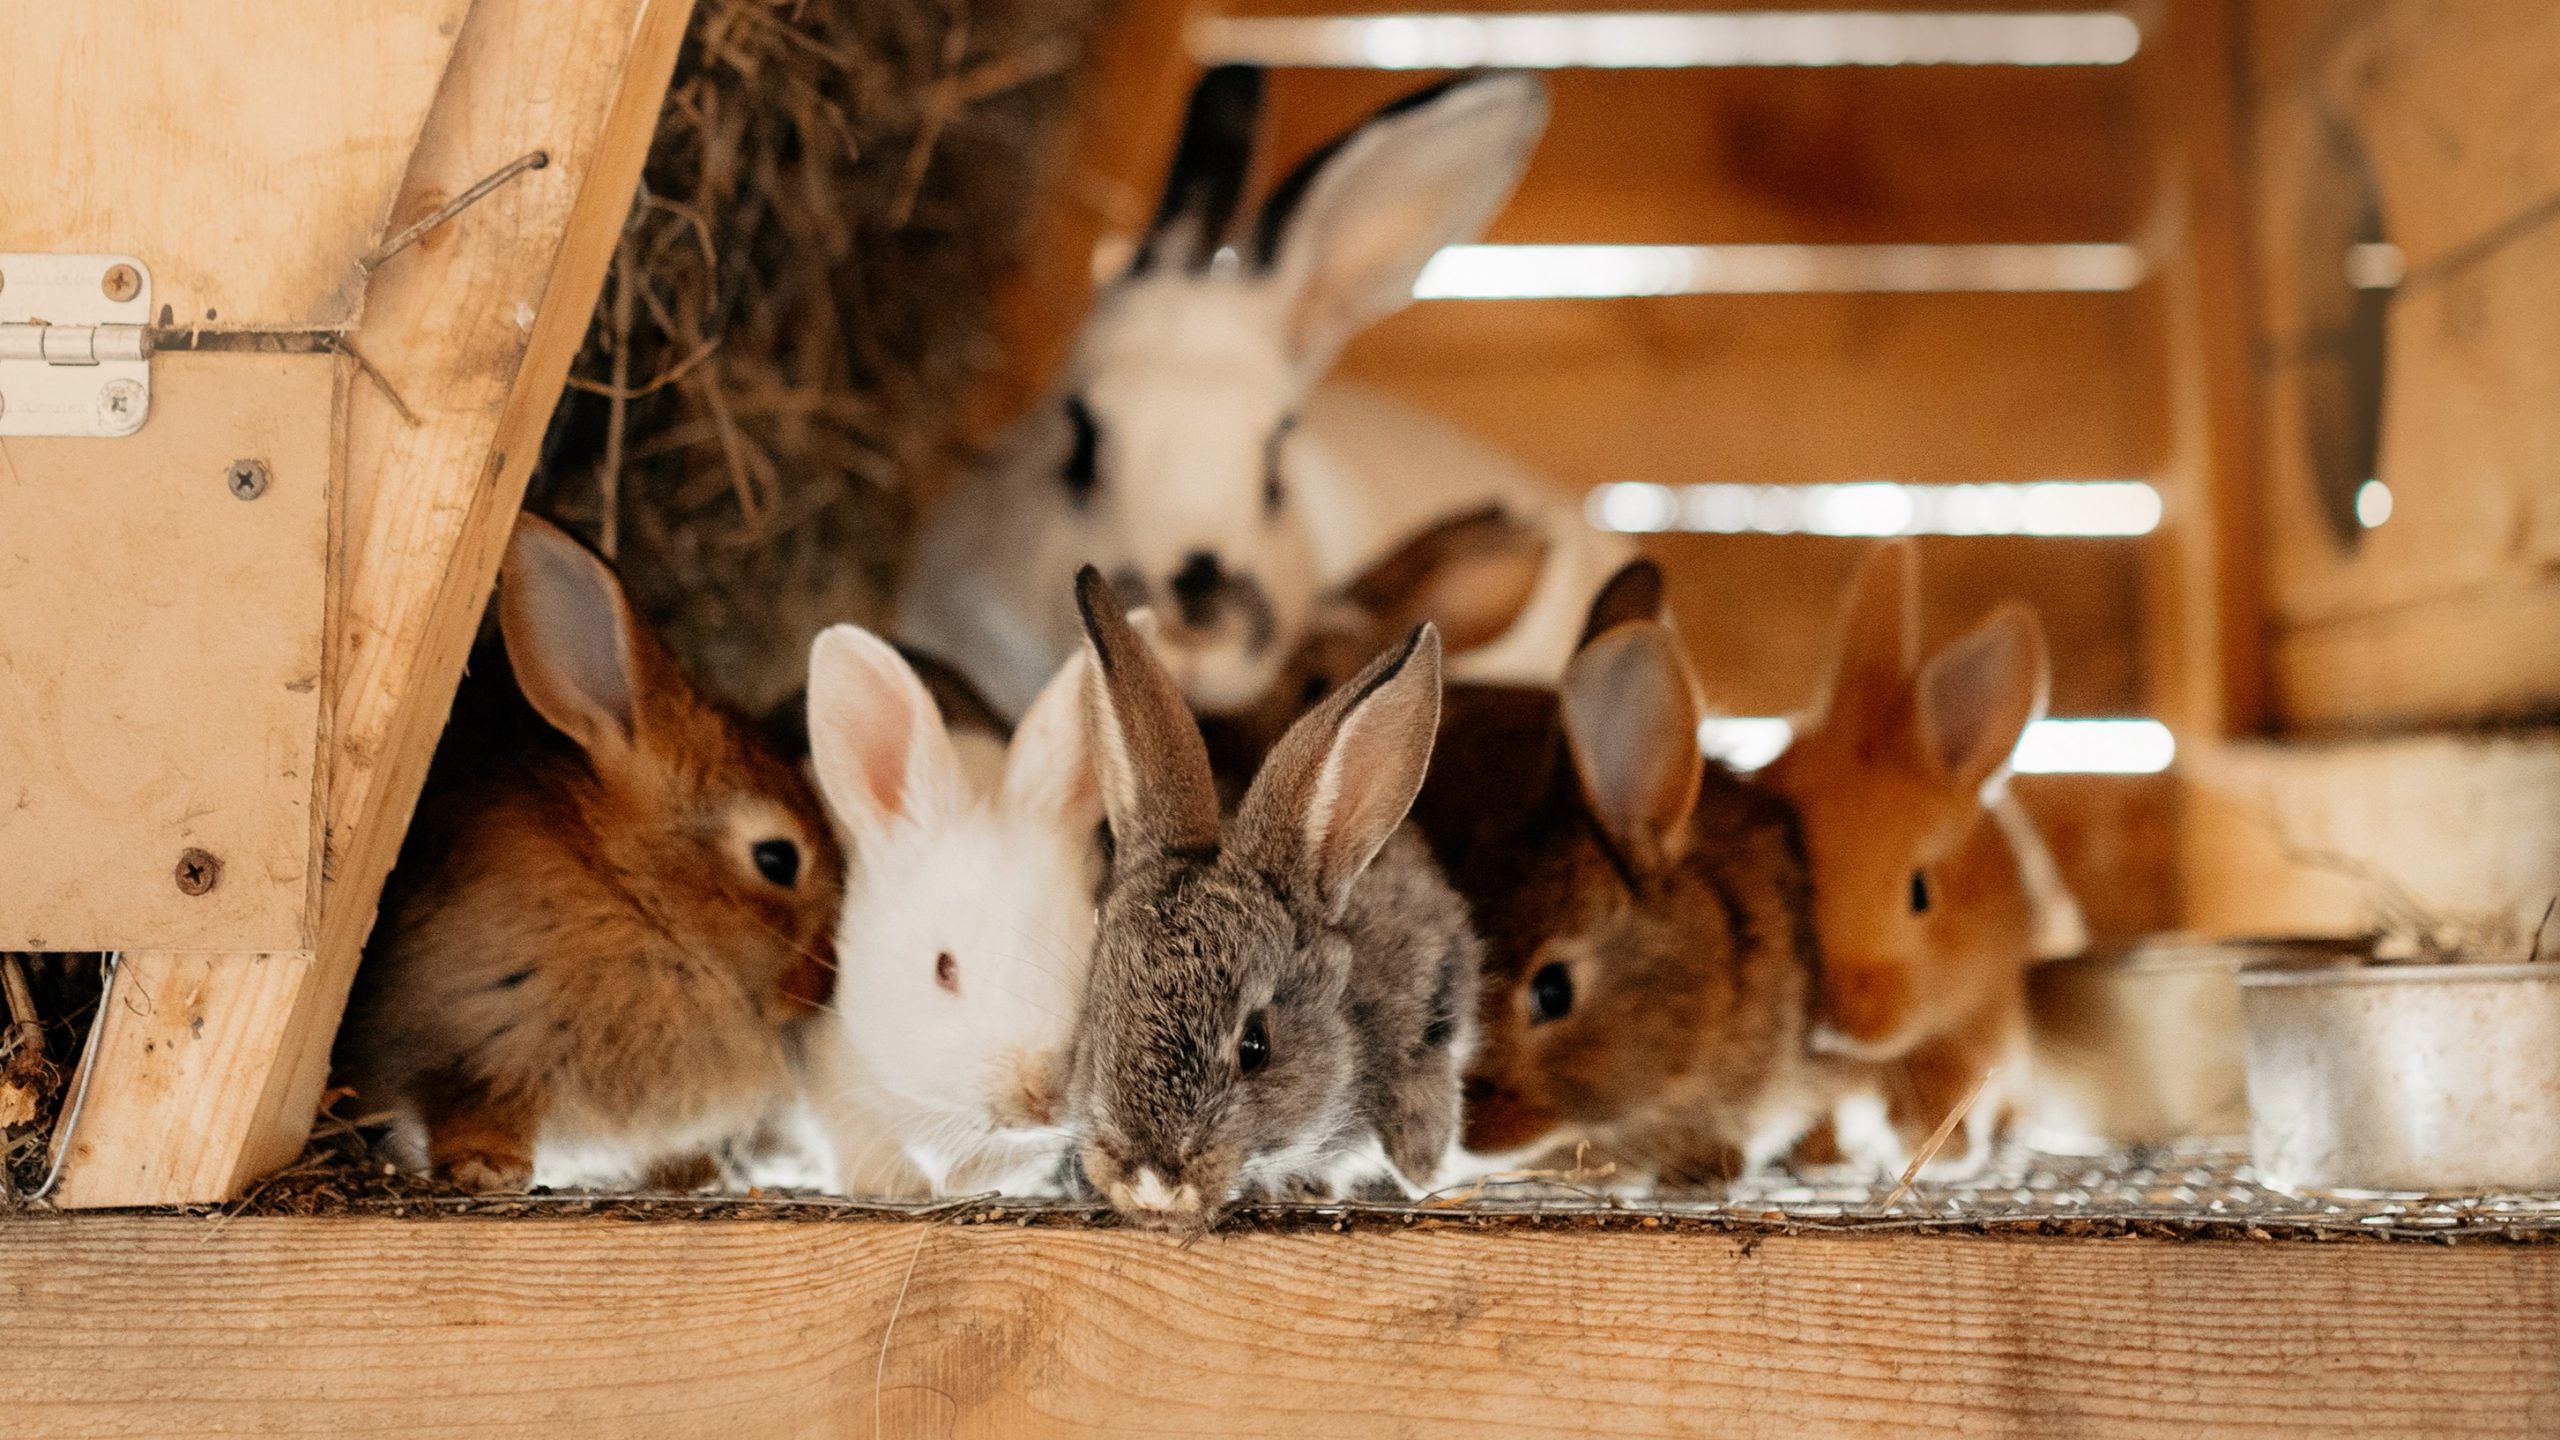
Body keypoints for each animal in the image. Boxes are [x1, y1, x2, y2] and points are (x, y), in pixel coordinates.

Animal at [341, 515, 844, 1193]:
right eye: (777, 860)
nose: (820, 986)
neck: (628, 891)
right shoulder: (474, 1040)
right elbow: (472, 1104)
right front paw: (488, 1167)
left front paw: (692, 1174)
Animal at [1757, 539, 2054, 1176]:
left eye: (1921, 892)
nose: (1838, 1013)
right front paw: (1818, 1158)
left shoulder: (1979, 1028)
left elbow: (1947, 1091)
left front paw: (1941, 1154)